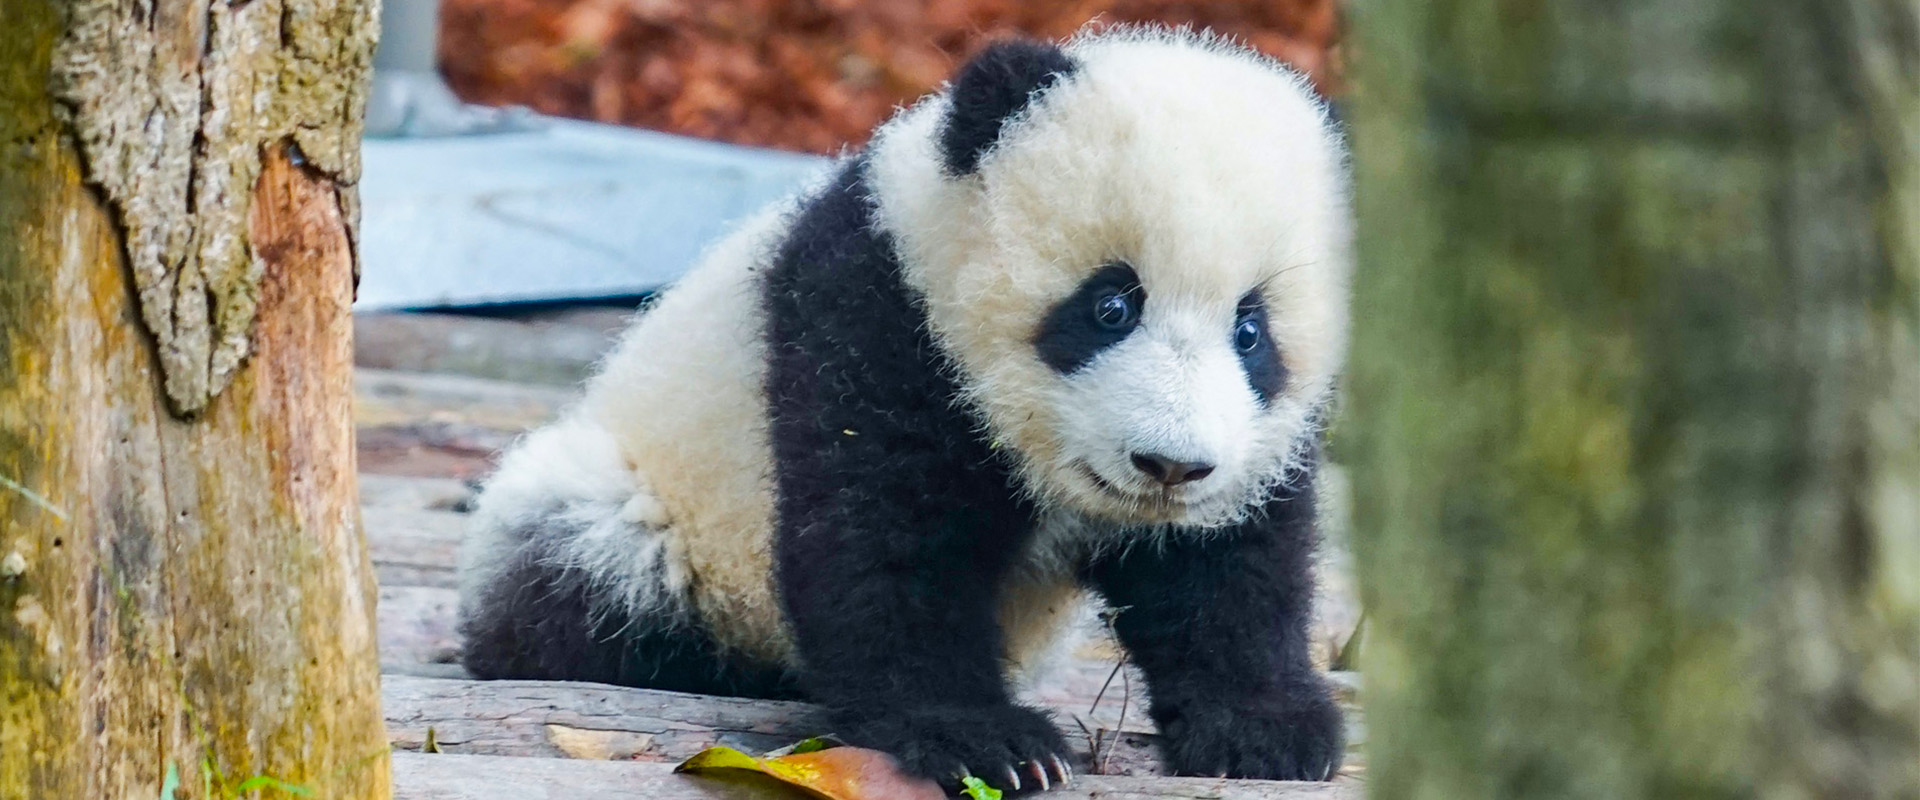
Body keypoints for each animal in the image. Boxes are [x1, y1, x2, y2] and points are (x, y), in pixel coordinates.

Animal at [457, 26, 1350, 793]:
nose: (1169, 465)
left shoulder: (1250, 447)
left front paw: (1267, 729)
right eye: (1110, 307)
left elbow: (1227, 564)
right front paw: (984, 738)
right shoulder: (876, 315)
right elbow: (882, 537)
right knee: (585, 561)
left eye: (1251, 333)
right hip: (642, 505)